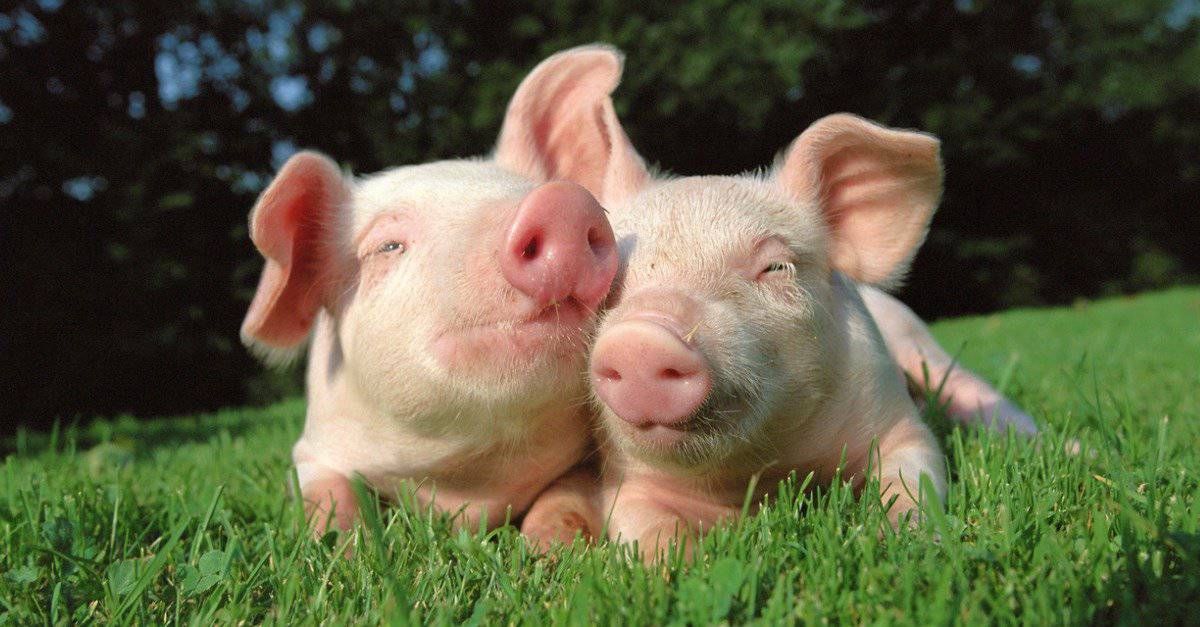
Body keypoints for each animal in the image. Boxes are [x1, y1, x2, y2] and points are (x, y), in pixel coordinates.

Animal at [238, 47, 646, 545]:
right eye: (388, 246)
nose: (562, 204)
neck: (464, 484)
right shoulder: (313, 447)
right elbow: (326, 492)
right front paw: (340, 546)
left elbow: (566, 493)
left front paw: (549, 548)